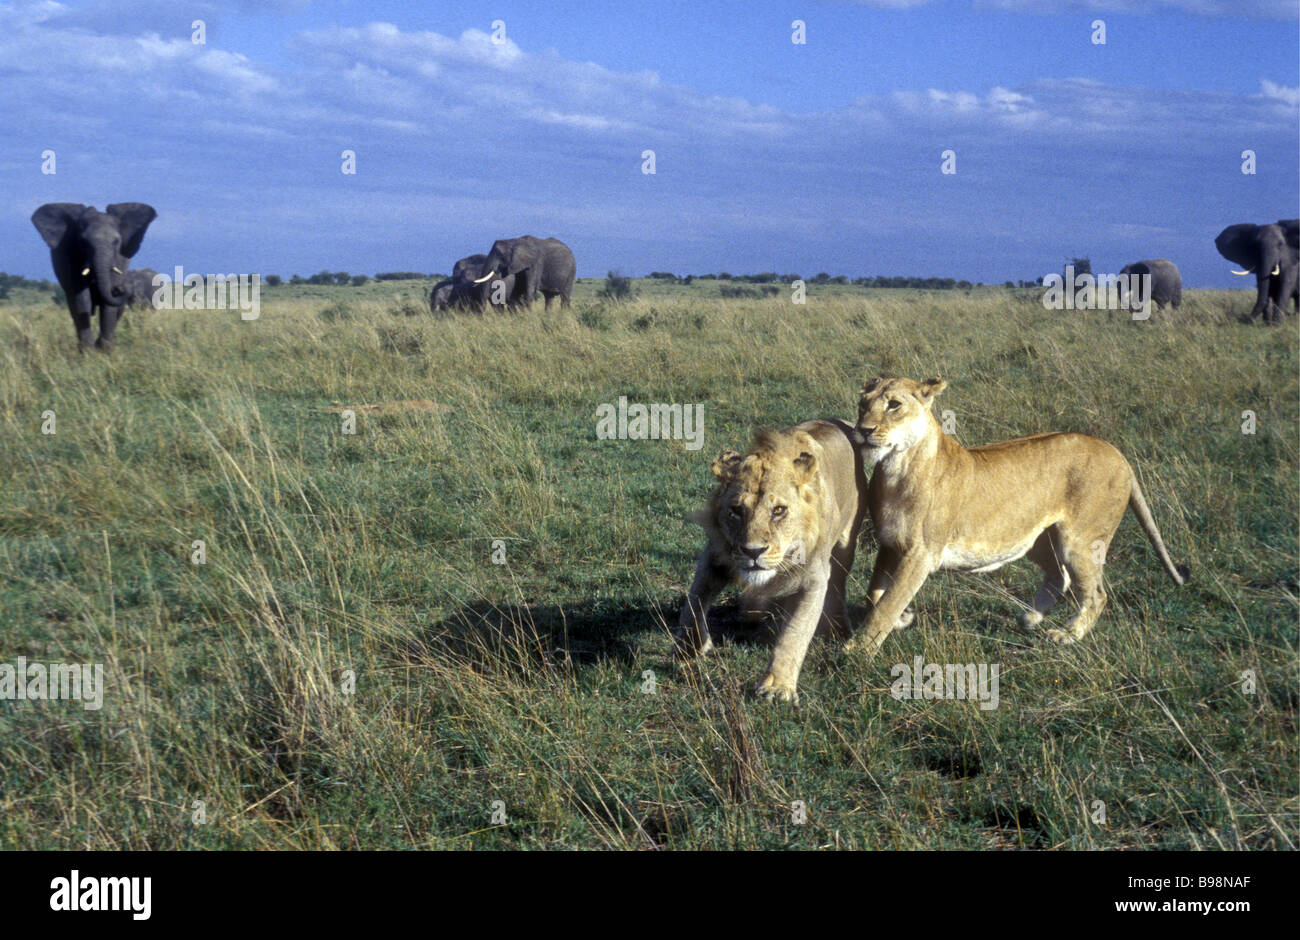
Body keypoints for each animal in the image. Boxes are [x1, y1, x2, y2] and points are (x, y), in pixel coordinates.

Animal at [31, 202, 157, 349]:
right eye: (83, 242)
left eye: (116, 242)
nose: (121, 287)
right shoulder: (71, 258)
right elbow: (81, 298)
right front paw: (88, 351)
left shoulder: (119, 260)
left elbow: (108, 303)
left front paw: (105, 349)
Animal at [676, 419, 867, 703]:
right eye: (735, 511)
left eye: (778, 511)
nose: (753, 551)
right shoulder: (716, 555)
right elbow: (694, 601)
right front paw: (689, 649)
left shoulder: (813, 578)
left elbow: (794, 633)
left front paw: (777, 686)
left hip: (847, 542)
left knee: (838, 583)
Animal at [844, 376, 1189, 655]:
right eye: (863, 404)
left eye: (894, 405)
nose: (862, 430)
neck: (894, 468)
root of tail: (1116, 452)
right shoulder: (889, 545)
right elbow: (875, 594)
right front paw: (902, 619)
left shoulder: (921, 553)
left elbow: (887, 603)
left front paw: (858, 649)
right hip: (1038, 538)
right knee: (1059, 577)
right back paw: (1030, 617)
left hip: (1080, 541)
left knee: (1096, 595)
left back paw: (1067, 635)